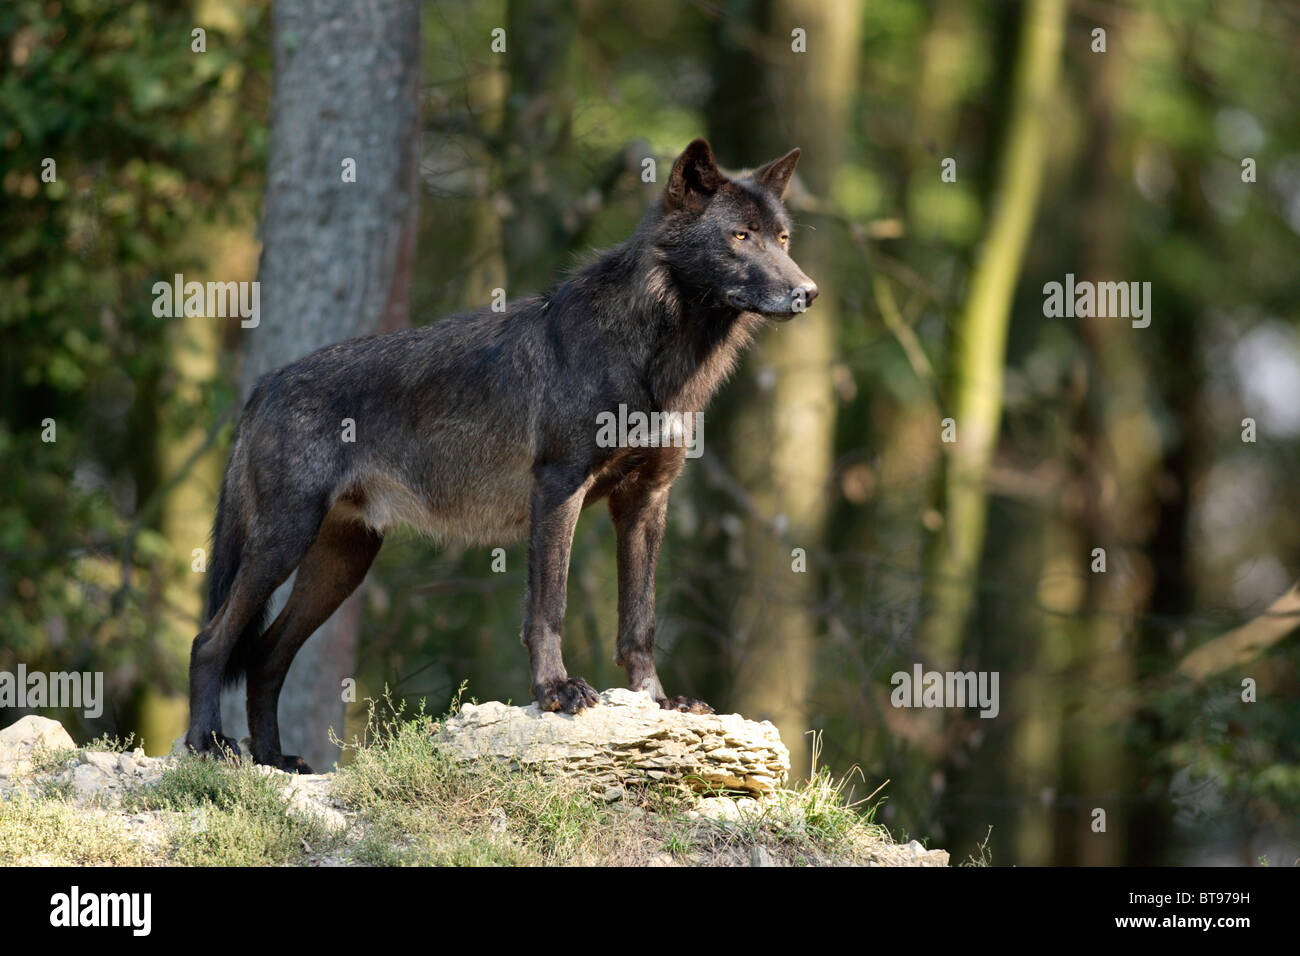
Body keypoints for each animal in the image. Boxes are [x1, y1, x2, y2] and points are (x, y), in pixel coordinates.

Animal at [187, 139, 818, 772]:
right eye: (740, 236)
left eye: (783, 238)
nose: (807, 292)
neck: (655, 354)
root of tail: (264, 384)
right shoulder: (558, 488)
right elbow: (549, 608)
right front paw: (556, 691)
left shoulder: (646, 502)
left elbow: (639, 623)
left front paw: (659, 705)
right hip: (284, 540)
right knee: (211, 639)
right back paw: (205, 745)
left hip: (342, 564)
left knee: (266, 655)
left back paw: (274, 760)